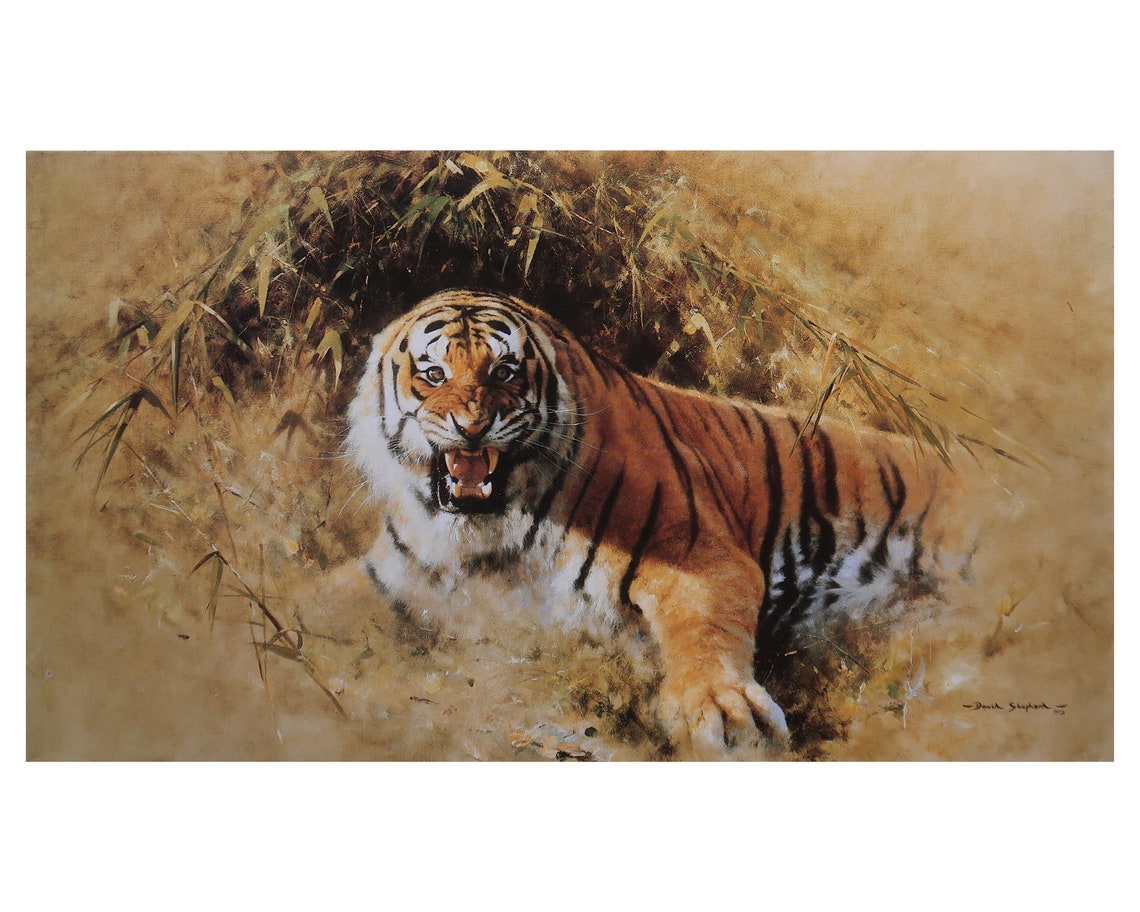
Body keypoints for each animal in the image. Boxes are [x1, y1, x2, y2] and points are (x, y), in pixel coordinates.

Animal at [345, 288, 970, 756]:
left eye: (504, 371)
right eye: (433, 373)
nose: (472, 426)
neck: (490, 535)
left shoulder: (700, 556)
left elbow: (705, 633)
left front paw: (725, 712)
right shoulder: (391, 577)